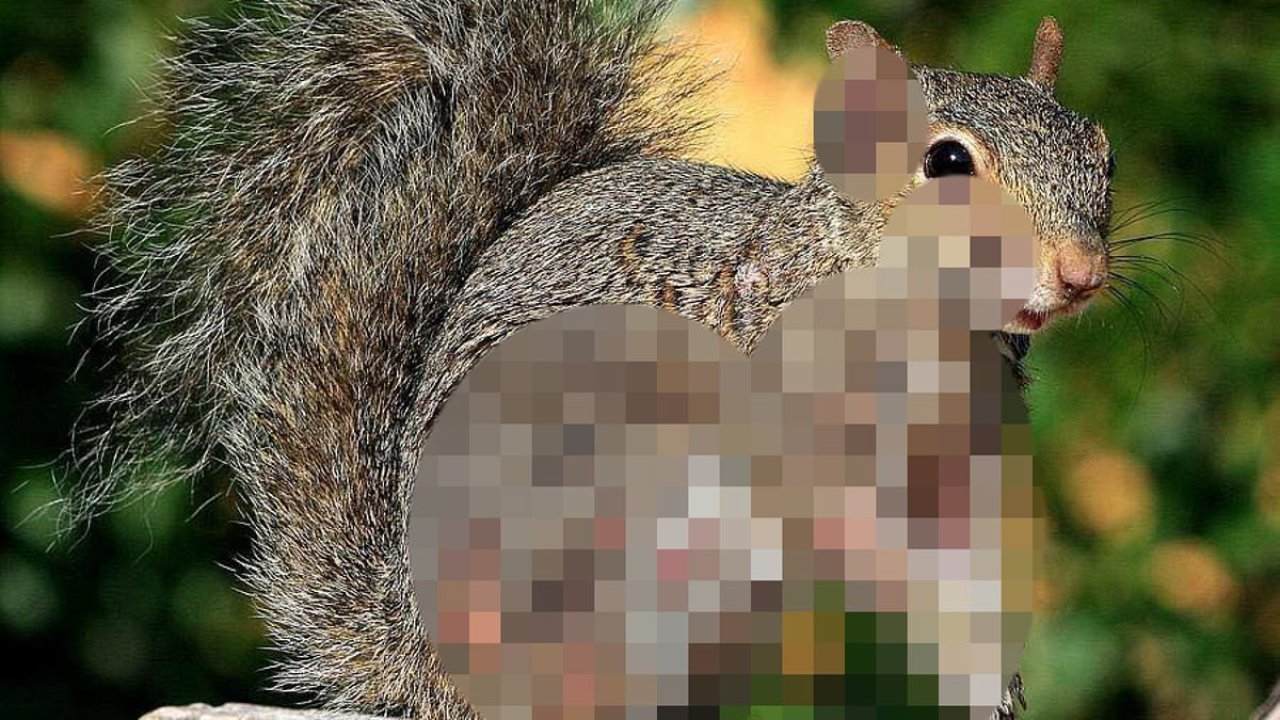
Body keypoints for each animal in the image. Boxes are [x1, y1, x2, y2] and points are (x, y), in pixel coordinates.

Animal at [67, 1, 1114, 718]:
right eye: (946, 163)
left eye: (1101, 155)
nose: (1082, 272)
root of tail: (430, 675)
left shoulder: (966, 479)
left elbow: (964, 582)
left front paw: (997, 691)